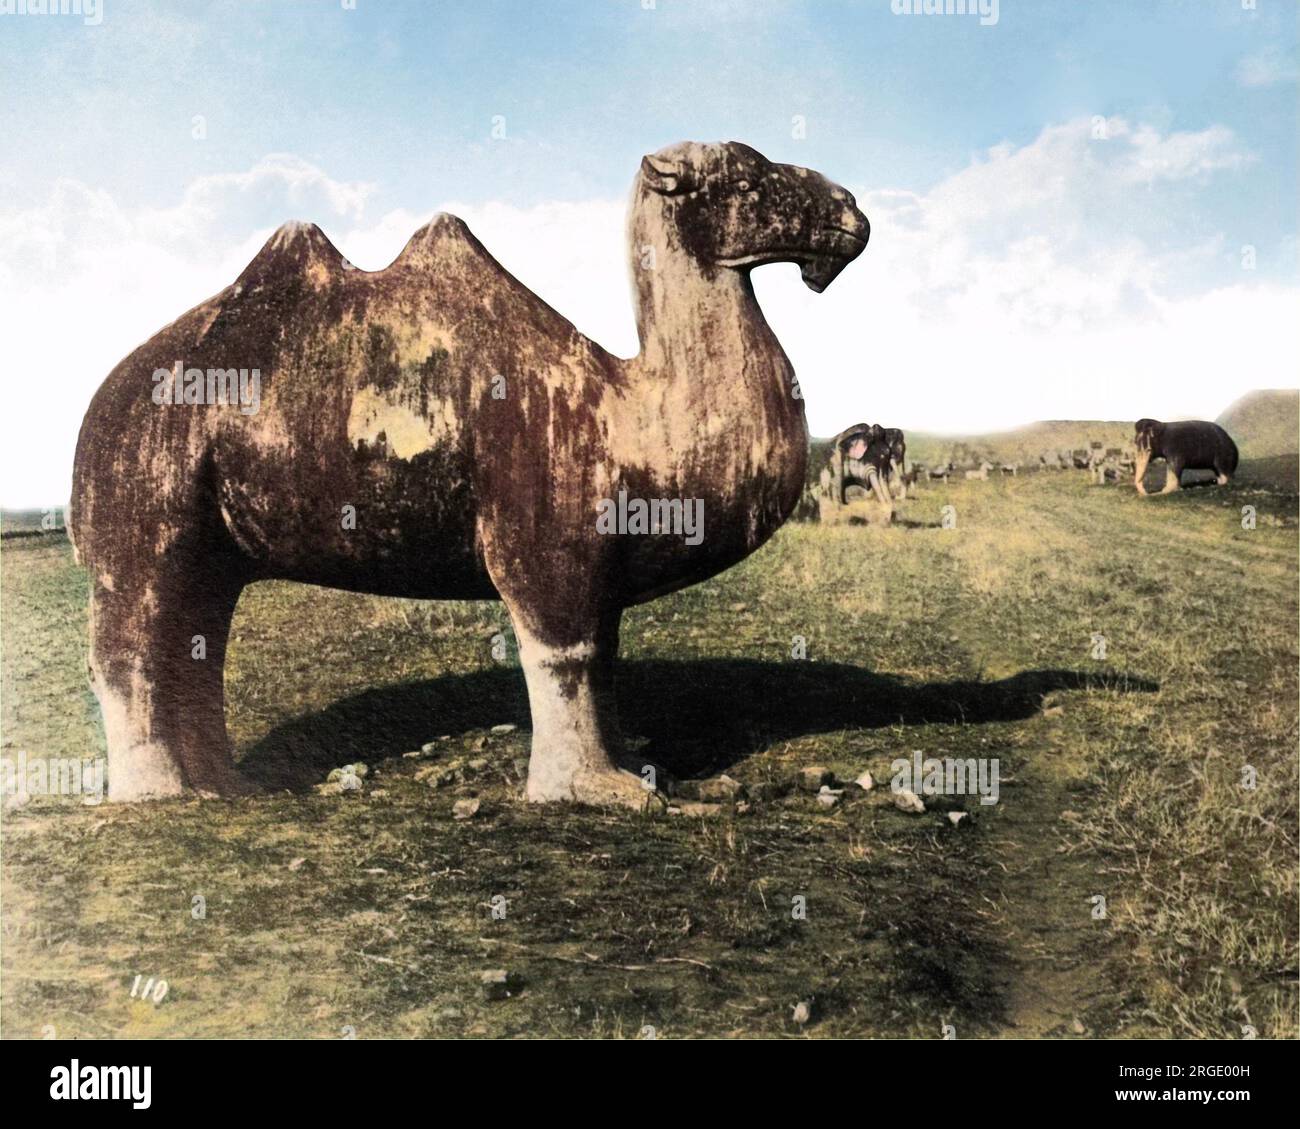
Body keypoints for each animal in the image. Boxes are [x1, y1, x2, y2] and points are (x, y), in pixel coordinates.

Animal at [69, 141, 869, 807]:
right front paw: (592, 791)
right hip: (142, 487)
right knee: (131, 642)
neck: (627, 415)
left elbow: (603, 658)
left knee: (196, 632)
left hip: (206, 534)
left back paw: (223, 785)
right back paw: (156, 795)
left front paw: (643, 774)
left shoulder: (600, 563)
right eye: (744, 176)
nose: (849, 212)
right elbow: (564, 657)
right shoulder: (543, 536)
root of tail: (93, 414)